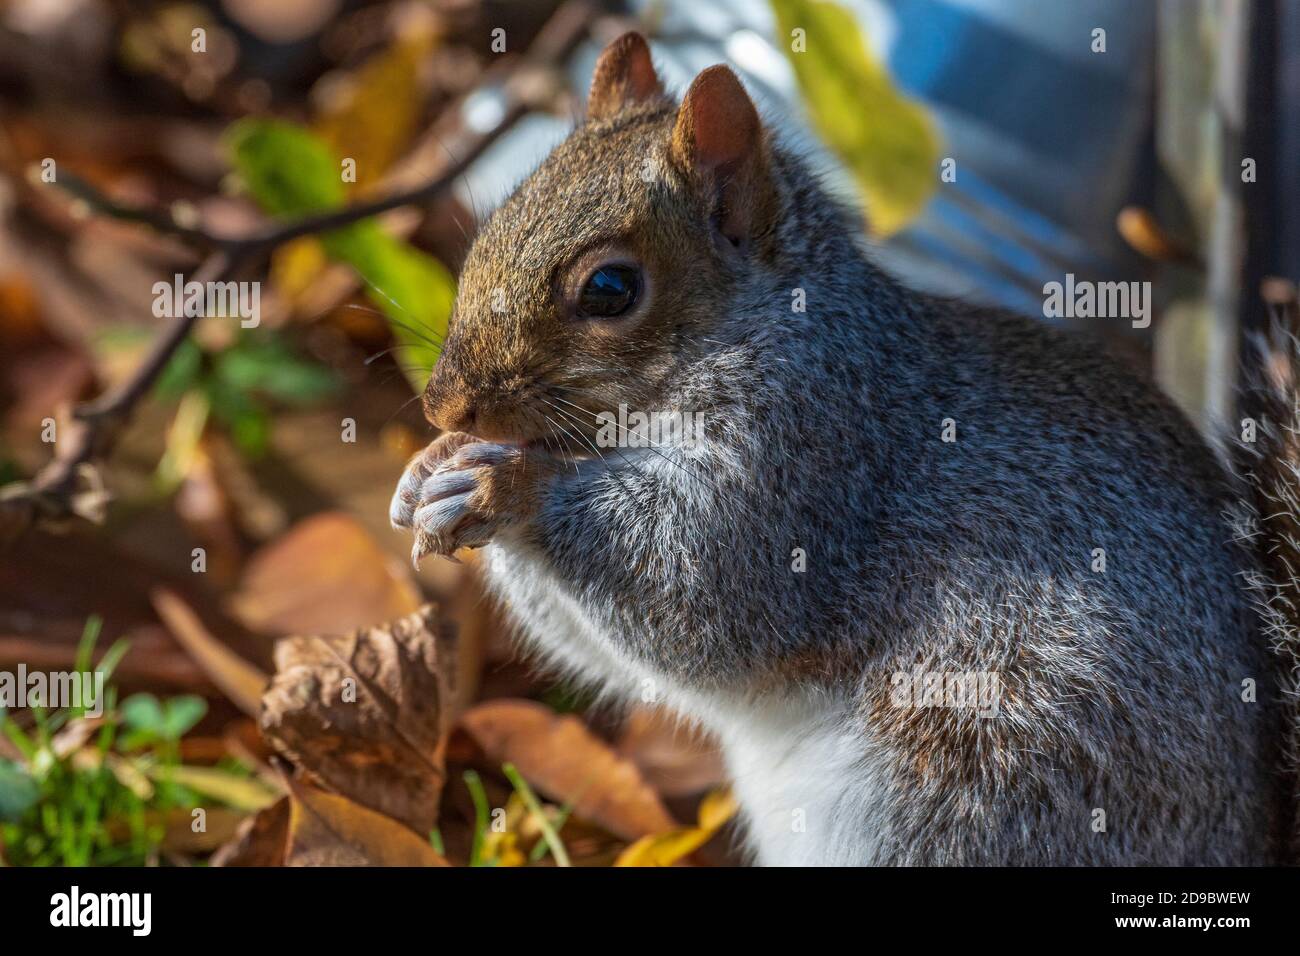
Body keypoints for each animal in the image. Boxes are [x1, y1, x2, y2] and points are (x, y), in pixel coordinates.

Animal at [390, 32, 1299, 865]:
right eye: (492, 226)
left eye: (610, 289)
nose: (444, 404)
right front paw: (429, 473)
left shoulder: (810, 458)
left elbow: (701, 591)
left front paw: (509, 488)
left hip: (975, 778)